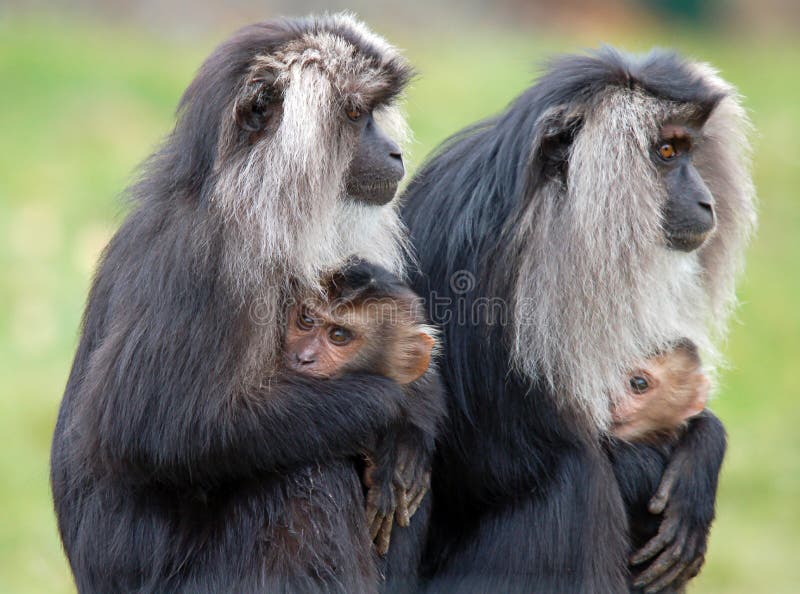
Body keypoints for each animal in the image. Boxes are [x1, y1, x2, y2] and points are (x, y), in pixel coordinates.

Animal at [50, 15, 444, 594]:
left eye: (374, 113)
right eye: (355, 115)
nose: (394, 153)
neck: (237, 195)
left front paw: (413, 422)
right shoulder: (207, 263)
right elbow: (156, 431)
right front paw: (394, 408)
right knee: (306, 476)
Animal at [401, 47, 755, 593]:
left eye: (688, 150)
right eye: (666, 152)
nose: (705, 201)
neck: (541, 216)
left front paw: (703, 445)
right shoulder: (485, 275)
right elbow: (502, 465)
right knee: (578, 481)